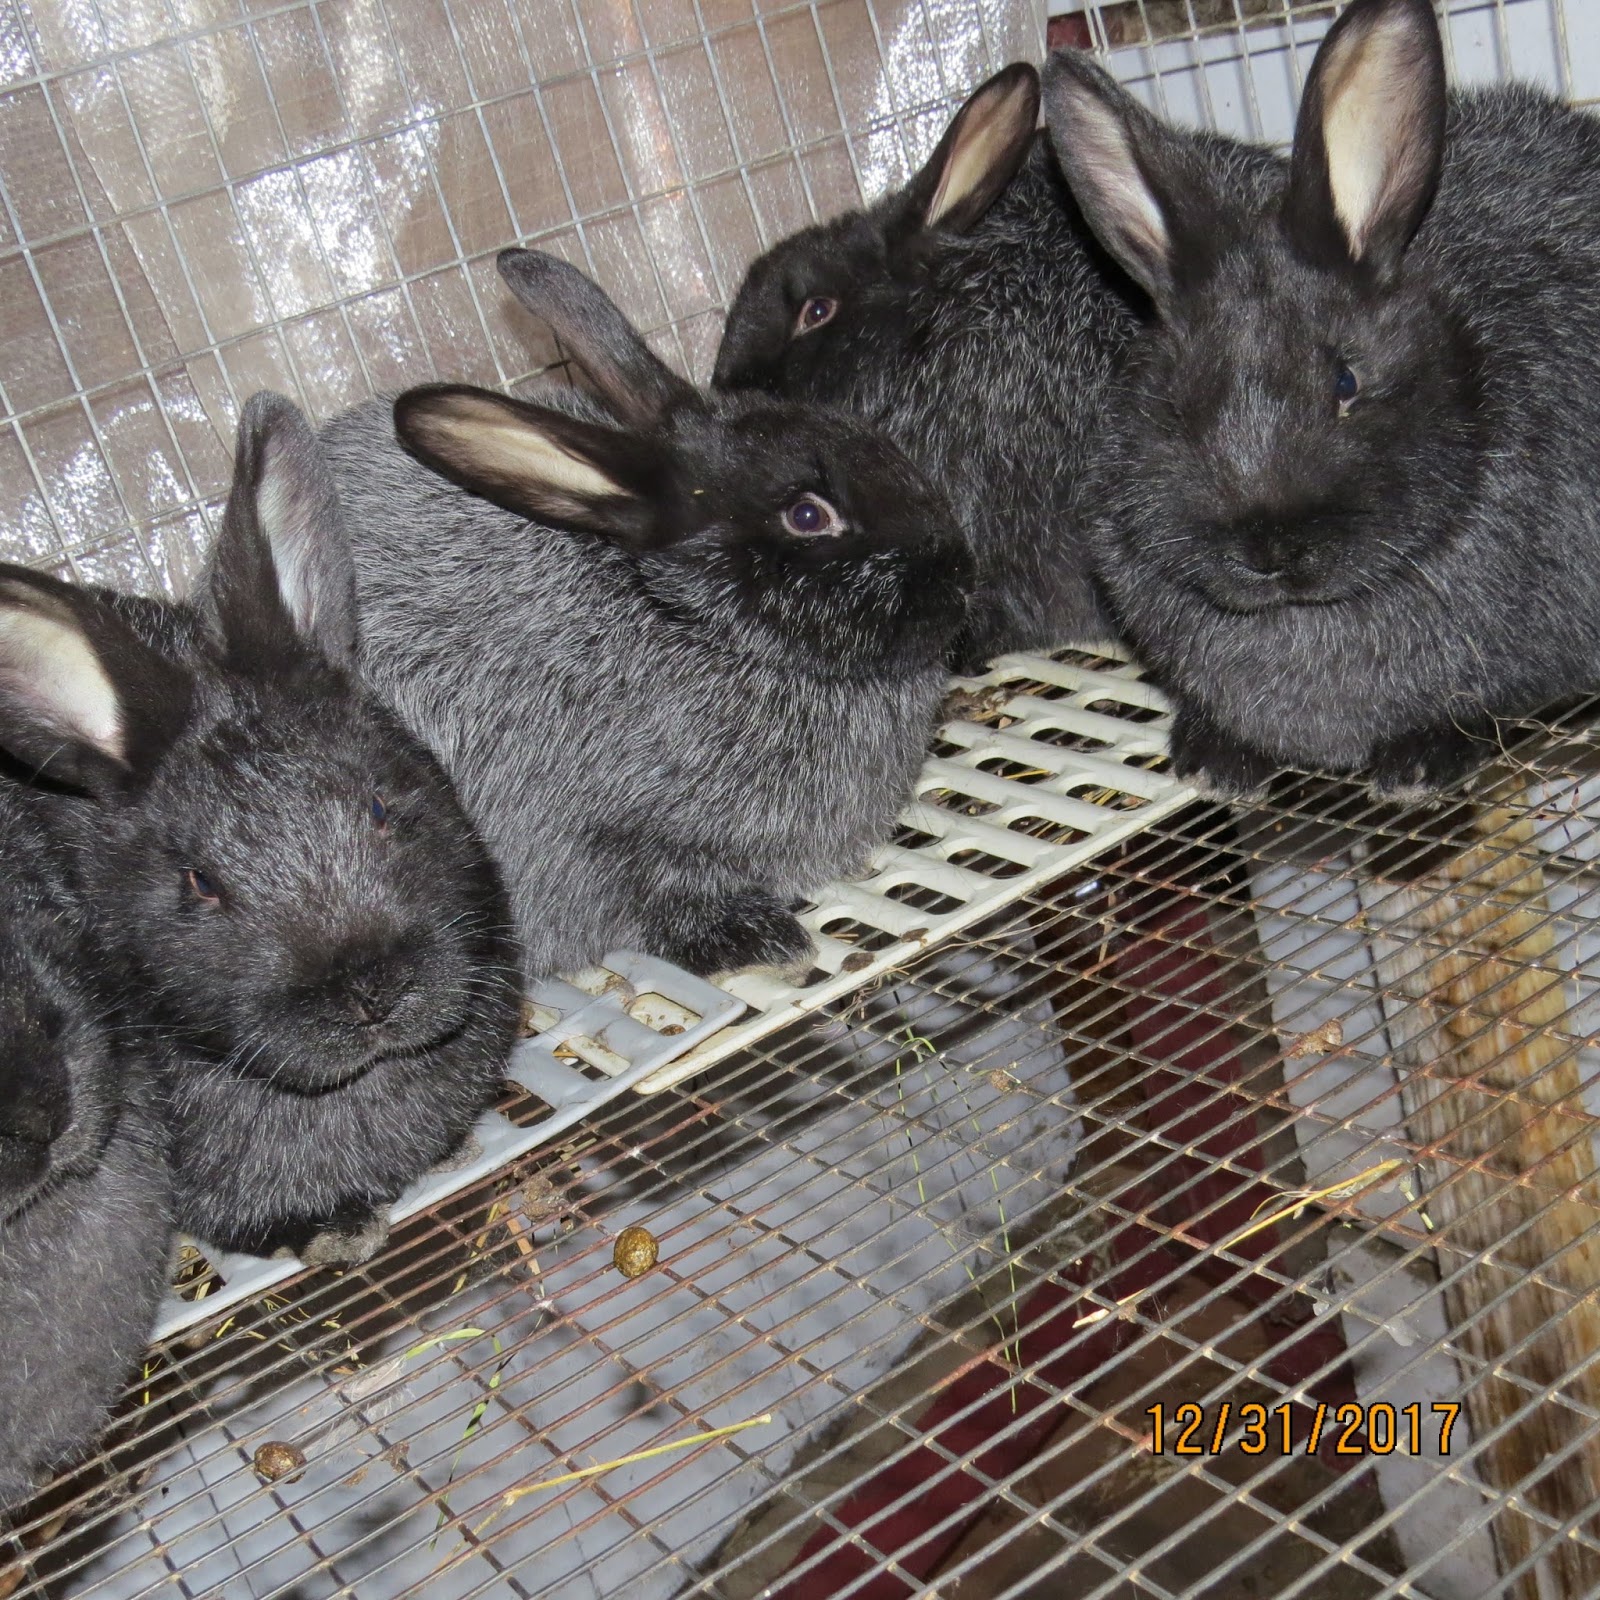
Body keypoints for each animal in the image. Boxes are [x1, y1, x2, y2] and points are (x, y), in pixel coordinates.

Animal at [318, 248, 972, 985]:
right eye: (808, 516)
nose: (962, 579)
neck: (682, 617)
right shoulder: (606, 841)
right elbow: (662, 893)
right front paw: (765, 944)